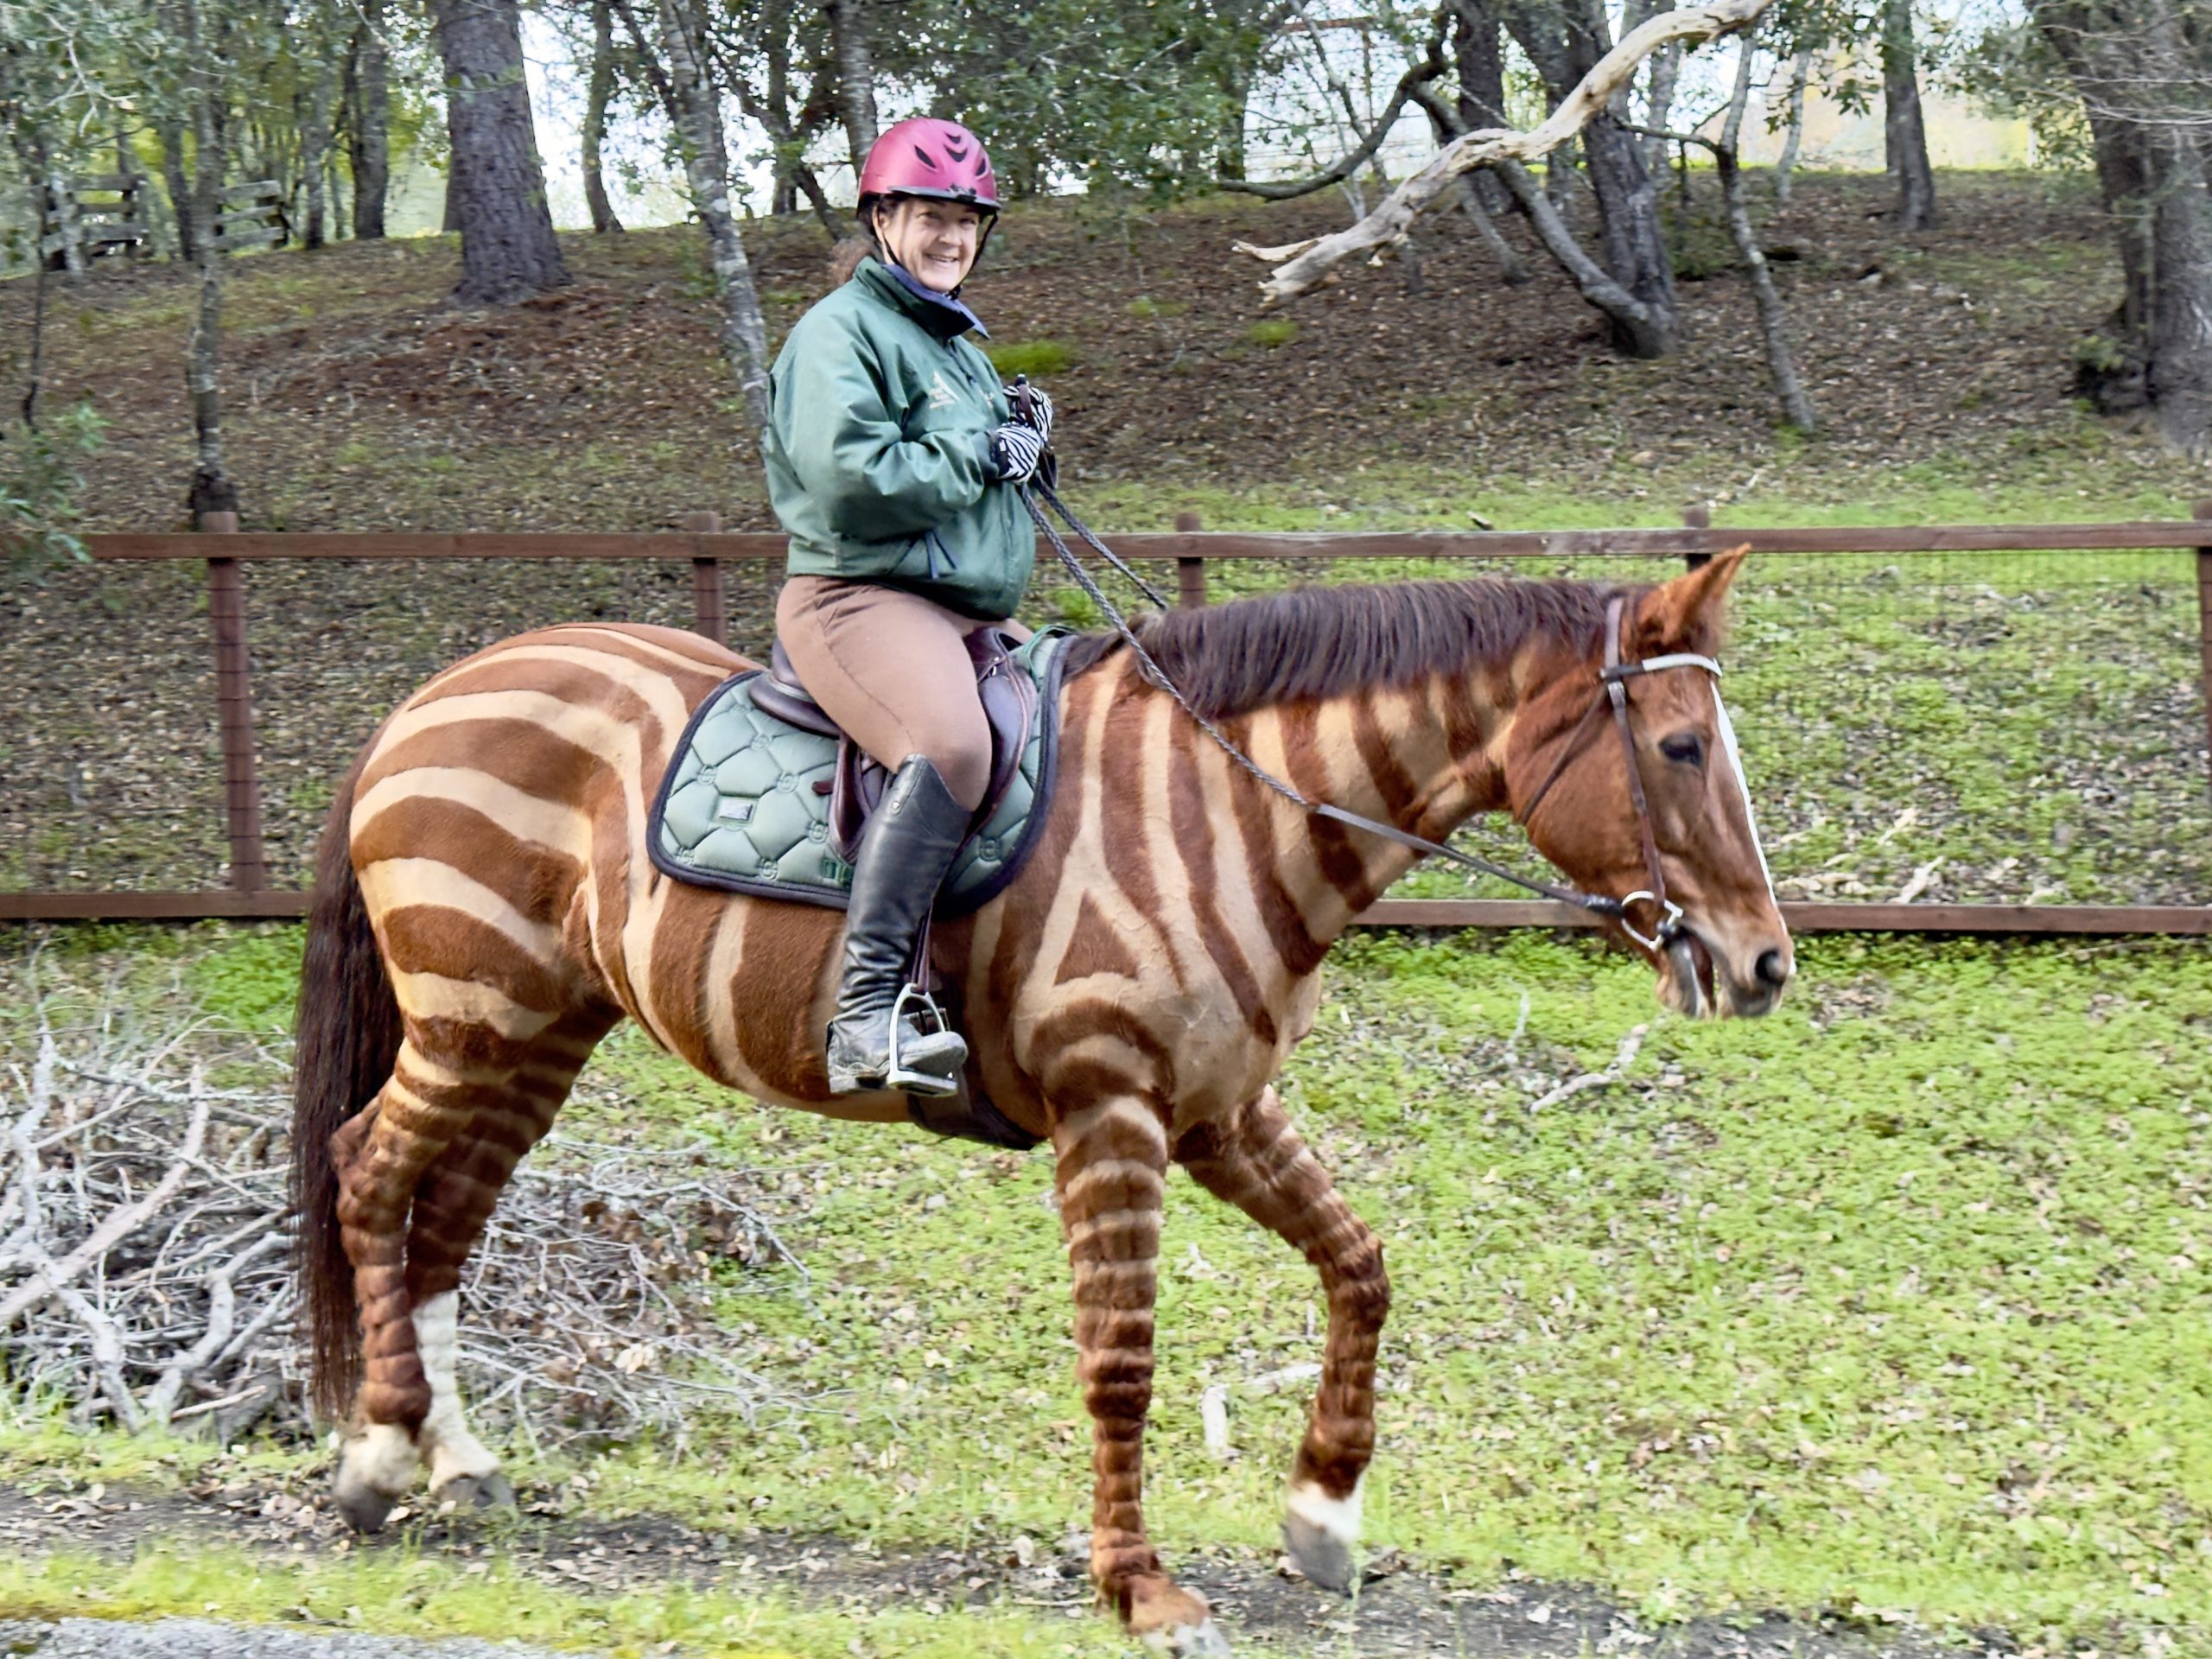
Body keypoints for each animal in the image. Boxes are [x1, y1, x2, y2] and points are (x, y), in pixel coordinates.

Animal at [289, 547, 1788, 1656]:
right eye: (1680, 748)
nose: (1767, 964)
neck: (1227, 811)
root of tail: (435, 692)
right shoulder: (1112, 1113)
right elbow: (1121, 1360)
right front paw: (1143, 1586)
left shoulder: (1223, 1114)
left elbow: (1361, 1272)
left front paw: (1323, 1513)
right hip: (472, 1020)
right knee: (369, 1171)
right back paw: (376, 1456)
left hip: (536, 1033)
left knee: (448, 1215)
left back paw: (454, 1457)